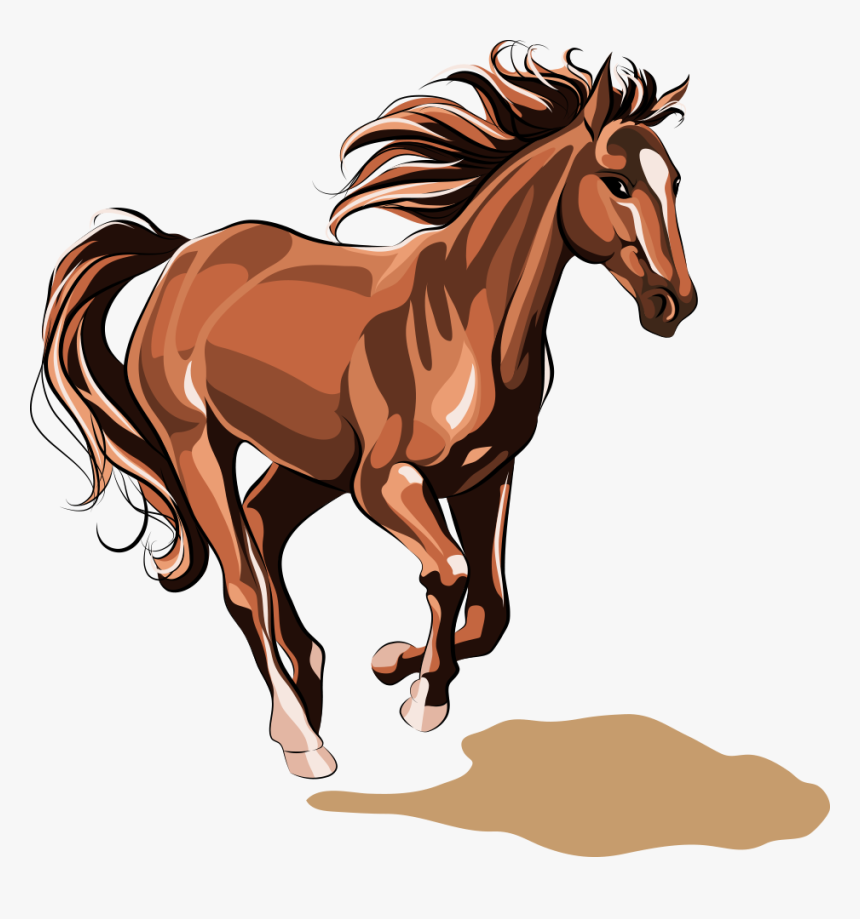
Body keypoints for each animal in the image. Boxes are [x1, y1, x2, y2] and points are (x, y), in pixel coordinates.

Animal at [37, 43, 697, 779]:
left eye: (674, 181)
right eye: (616, 182)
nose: (673, 301)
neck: (466, 319)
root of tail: (181, 255)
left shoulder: (485, 474)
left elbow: (490, 606)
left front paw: (396, 664)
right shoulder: (384, 483)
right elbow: (449, 572)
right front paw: (422, 697)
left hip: (310, 462)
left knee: (264, 525)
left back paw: (310, 677)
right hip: (199, 446)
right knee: (243, 583)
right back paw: (301, 736)